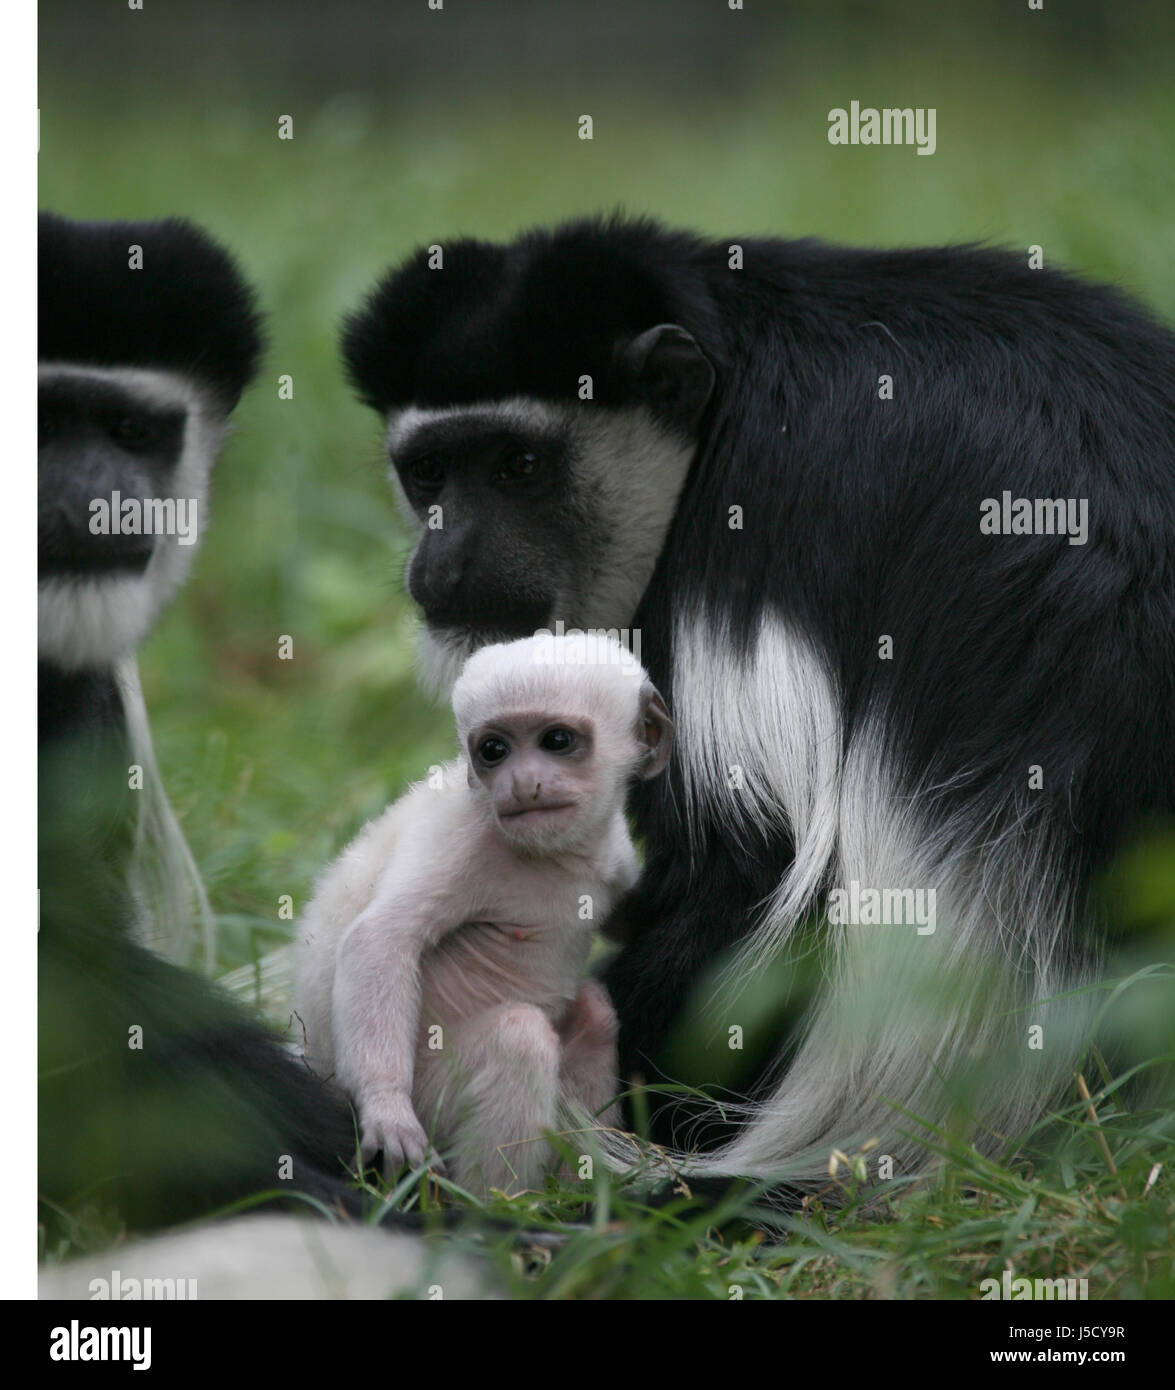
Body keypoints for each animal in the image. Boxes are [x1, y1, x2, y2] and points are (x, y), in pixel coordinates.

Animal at [295, 632, 673, 1194]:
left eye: (556, 741)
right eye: (494, 751)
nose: (521, 783)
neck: (557, 857)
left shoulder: (616, 859)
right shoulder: (465, 841)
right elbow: (380, 940)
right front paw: (388, 1111)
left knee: (595, 1017)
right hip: (434, 1095)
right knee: (518, 1039)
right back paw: (497, 1203)